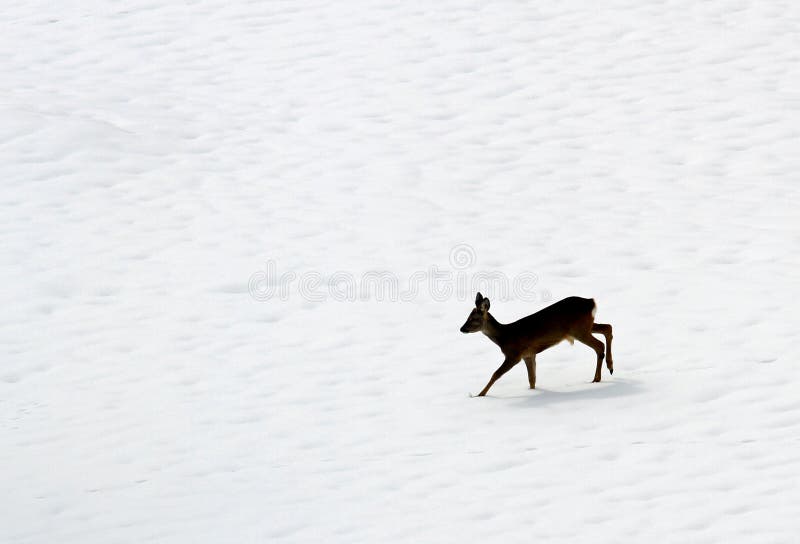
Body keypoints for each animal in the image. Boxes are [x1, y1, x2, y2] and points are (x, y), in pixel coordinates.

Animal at [460, 293, 614, 397]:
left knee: (599, 345)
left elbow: (496, 374)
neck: (505, 337)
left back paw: (597, 378)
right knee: (608, 327)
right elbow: (532, 379)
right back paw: (609, 368)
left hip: (579, 330)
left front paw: (479, 395)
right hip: (585, 326)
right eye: (468, 317)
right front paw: (533, 391)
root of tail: (591, 302)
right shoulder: (529, 355)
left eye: (473, 319)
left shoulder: (514, 355)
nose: (462, 329)